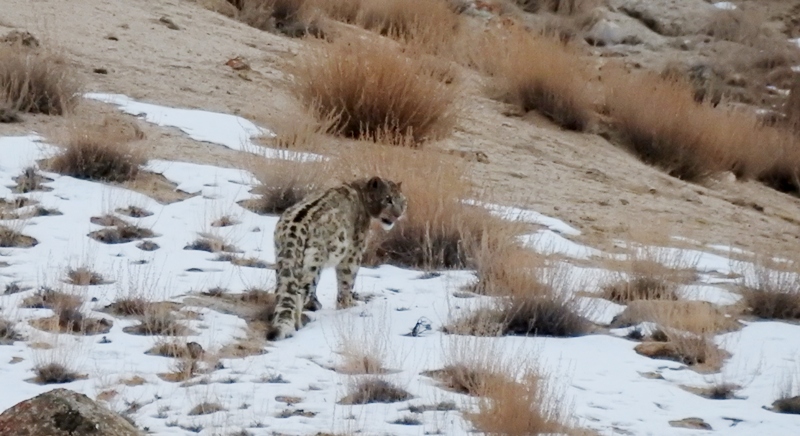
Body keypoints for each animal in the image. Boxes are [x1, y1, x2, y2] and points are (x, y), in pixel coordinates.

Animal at [267, 176, 407, 341]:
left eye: (402, 200)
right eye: (388, 199)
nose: (398, 215)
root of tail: (292, 229)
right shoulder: (354, 251)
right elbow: (347, 280)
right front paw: (348, 304)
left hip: (284, 261)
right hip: (313, 263)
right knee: (300, 292)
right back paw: (299, 324)